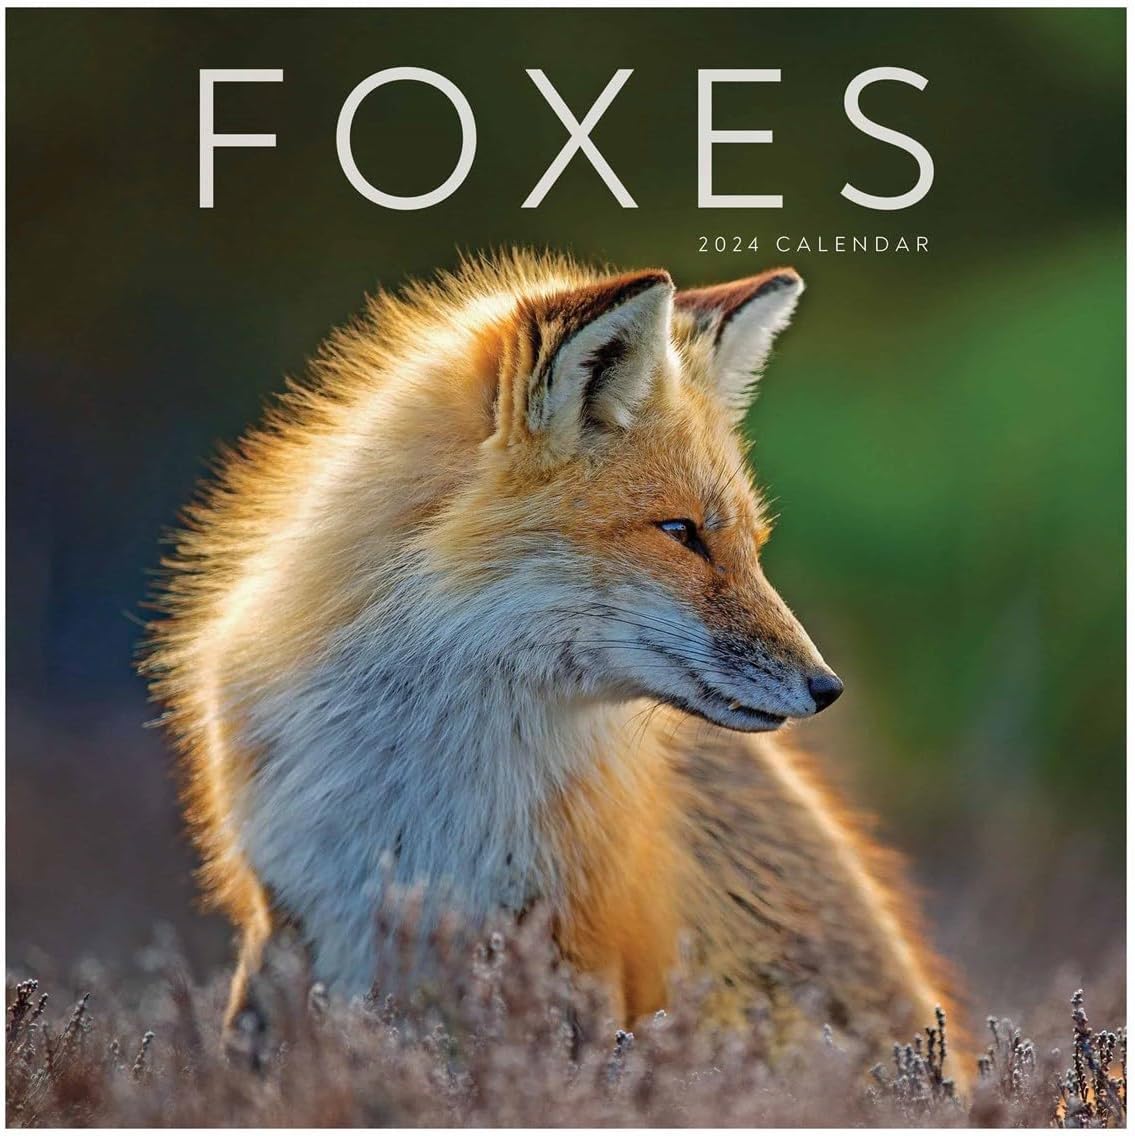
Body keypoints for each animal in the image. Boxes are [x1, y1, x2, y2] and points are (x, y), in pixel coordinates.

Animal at [143, 250, 964, 1080]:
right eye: (682, 532)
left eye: (750, 545)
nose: (825, 688)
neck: (419, 794)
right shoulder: (288, 910)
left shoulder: (576, 944)